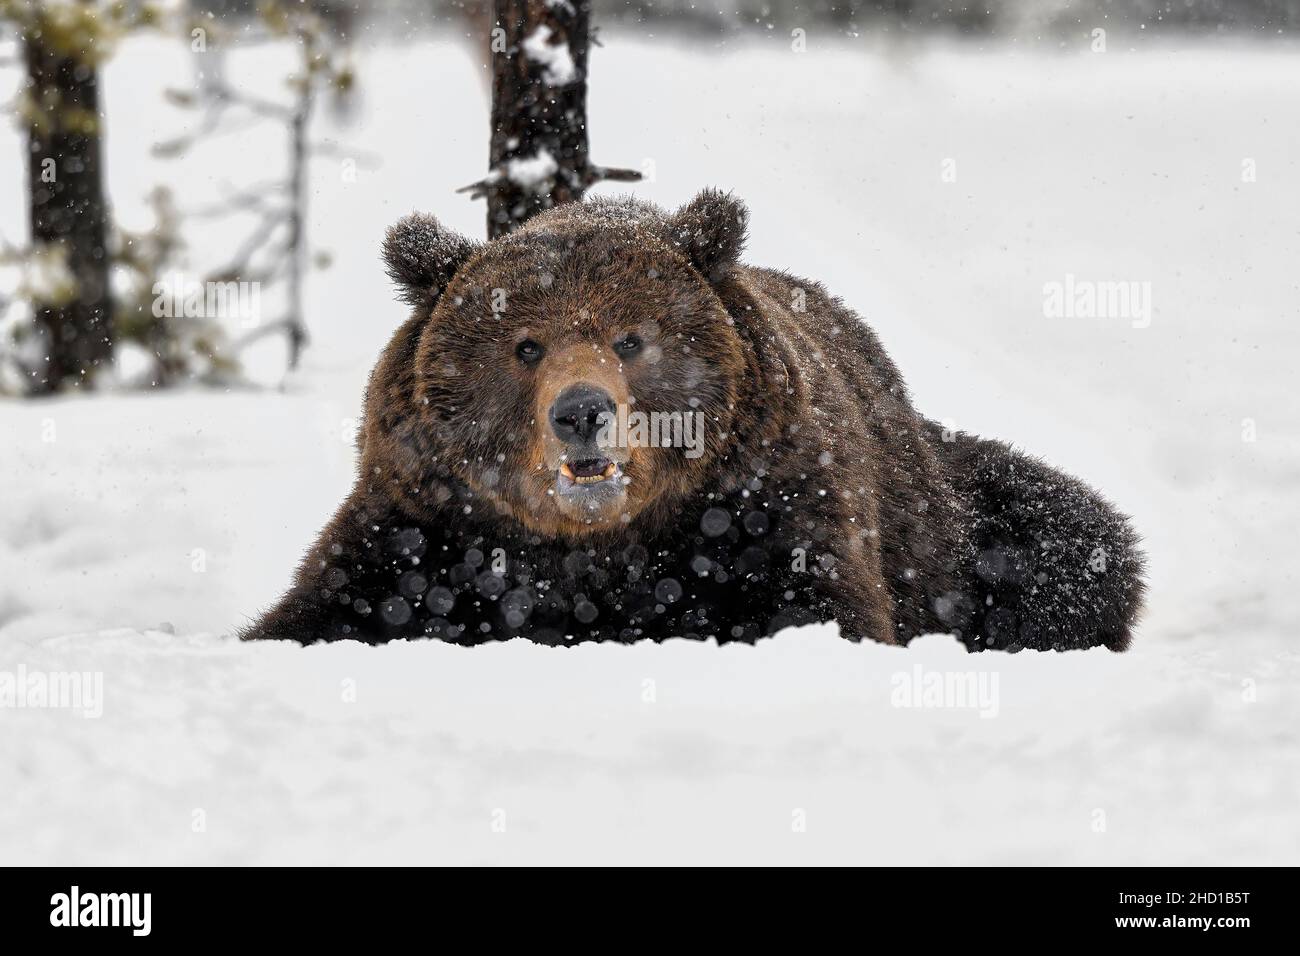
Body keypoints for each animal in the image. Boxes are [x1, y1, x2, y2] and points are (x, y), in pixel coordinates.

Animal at [243, 190, 1145, 651]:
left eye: (630, 337)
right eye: (525, 345)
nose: (581, 413)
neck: (600, 547)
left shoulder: (773, 507)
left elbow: (818, 611)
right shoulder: (425, 521)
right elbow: (318, 611)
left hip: (950, 518)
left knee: (1078, 542)